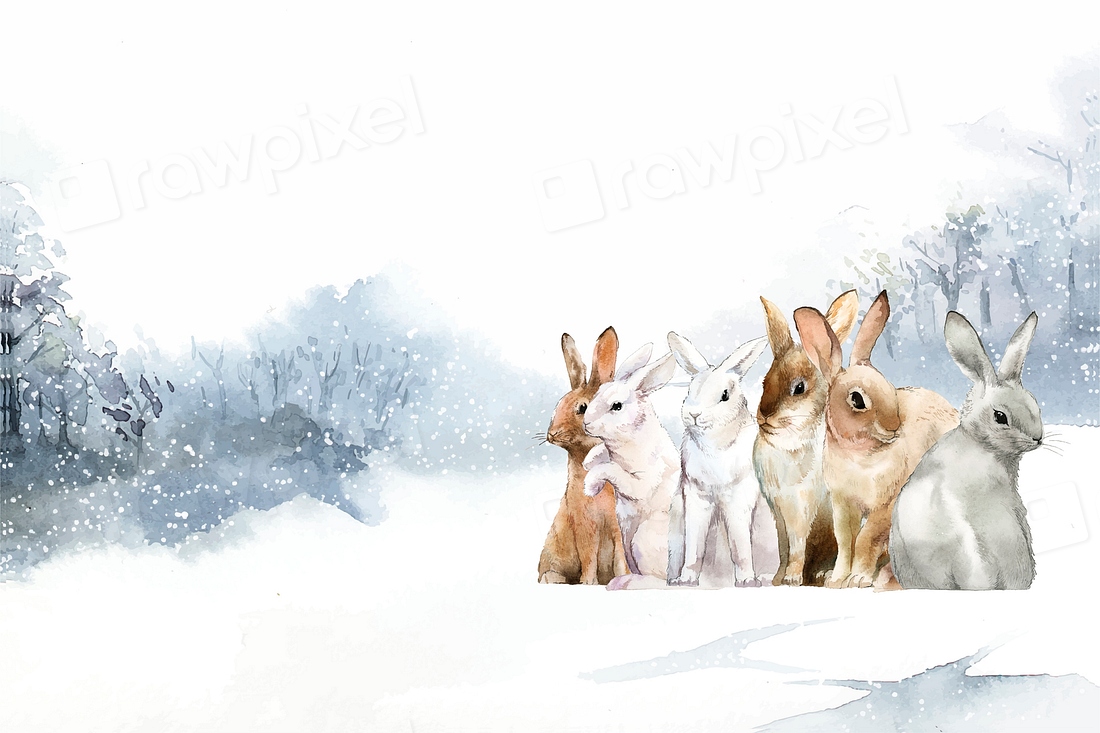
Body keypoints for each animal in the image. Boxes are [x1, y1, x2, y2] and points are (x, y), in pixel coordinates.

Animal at [538, 327, 628, 585]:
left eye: (582, 408)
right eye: (558, 405)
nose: (551, 434)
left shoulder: (618, 528)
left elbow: (620, 559)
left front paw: (624, 580)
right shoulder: (585, 525)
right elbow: (589, 557)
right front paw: (589, 584)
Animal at [582, 344, 680, 588]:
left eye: (617, 406)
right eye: (597, 394)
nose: (586, 423)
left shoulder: (642, 481)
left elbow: (612, 471)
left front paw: (590, 487)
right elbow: (600, 454)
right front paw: (588, 461)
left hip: (642, 540)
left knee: (666, 583)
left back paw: (624, 583)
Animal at [665, 331, 777, 587]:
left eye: (724, 395)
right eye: (689, 391)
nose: (694, 414)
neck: (714, 445)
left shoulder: (739, 499)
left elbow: (740, 546)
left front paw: (746, 581)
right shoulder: (695, 496)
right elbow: (694, 546)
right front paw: (686, 580)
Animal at [753, 290, 859, 586]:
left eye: (799, 388)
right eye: (765, 382)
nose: (763, 417)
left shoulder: (802, 507)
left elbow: (798, 546)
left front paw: (791, 578)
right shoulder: (778, 511)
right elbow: (784, 548)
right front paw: (778, 579)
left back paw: (826, 574)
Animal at [794, 291, 959, 588]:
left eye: (889, 387)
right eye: (857, 400)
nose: (894, 427)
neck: (858, 455)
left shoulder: (886, 504)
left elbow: (866, 539)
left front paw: (859, 578)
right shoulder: (843, 503)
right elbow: (846, 541)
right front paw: (837, 579)